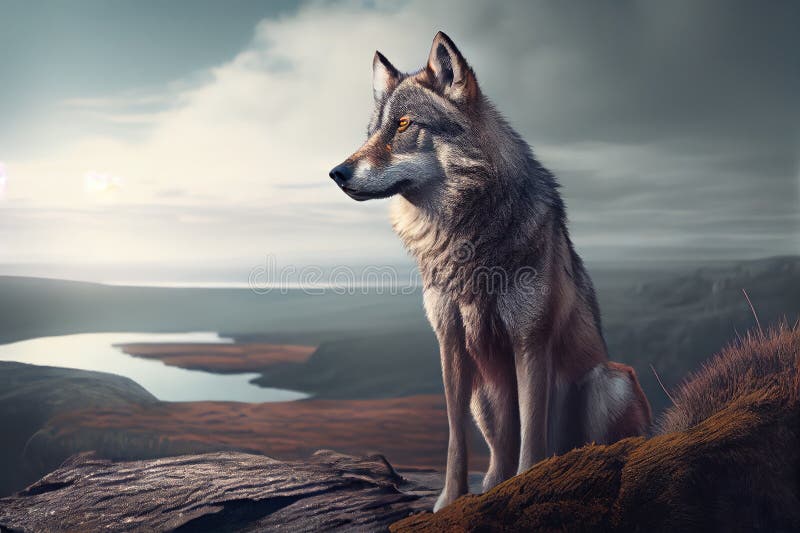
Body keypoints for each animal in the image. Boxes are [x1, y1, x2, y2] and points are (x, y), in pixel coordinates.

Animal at [329, 32, 652, 511]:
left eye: (404, 125)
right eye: (371, 134)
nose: (337, 172)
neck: (463, 242)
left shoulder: (530, 341)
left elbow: (532, 438)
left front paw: (527, 487)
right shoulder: (449, 343)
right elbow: (454, 440)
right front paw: (449, 501)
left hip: (610, 381)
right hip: (484, 394)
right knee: (498, 455)